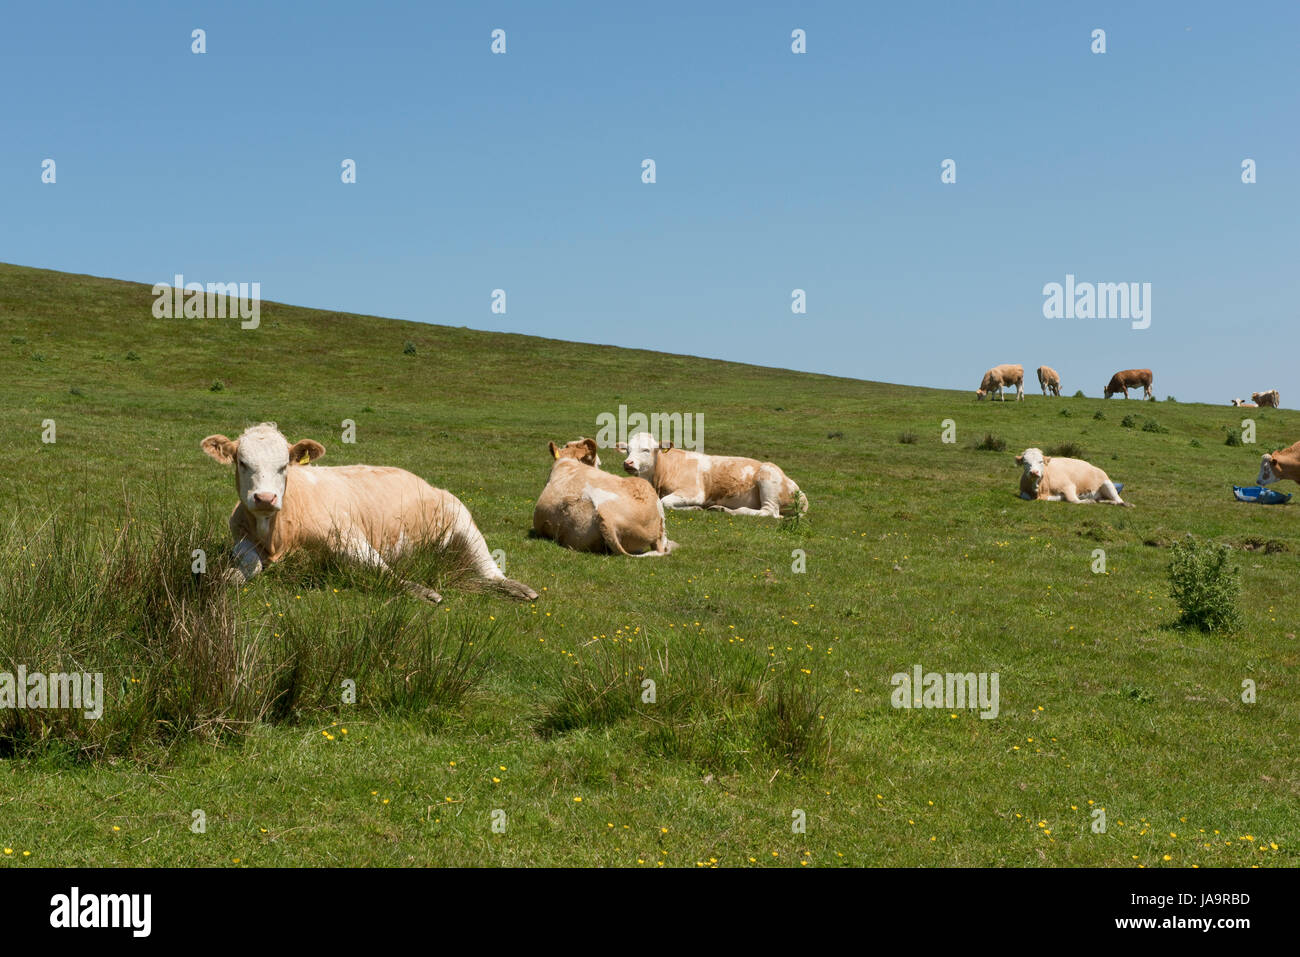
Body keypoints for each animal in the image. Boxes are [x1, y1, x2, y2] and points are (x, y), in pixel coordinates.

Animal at [201, 422, 537, 602]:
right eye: (242, 462)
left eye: (284, 466)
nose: (265, 498)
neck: (278, 536)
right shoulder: (241, 539)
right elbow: (247, 567)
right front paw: (225, 578)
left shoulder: (351, 538)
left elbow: (383, 572)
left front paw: (420, 590)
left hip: (464, 522)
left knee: (490, 571)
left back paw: (520, 589)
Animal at [616, 432, 808, 517]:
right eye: (628, 450)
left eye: (646, 450)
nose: (628, 463)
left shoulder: (694, 492)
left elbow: (665, 502)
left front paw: (694, 507)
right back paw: (720, 508)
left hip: (768, 478)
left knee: (769, 512)